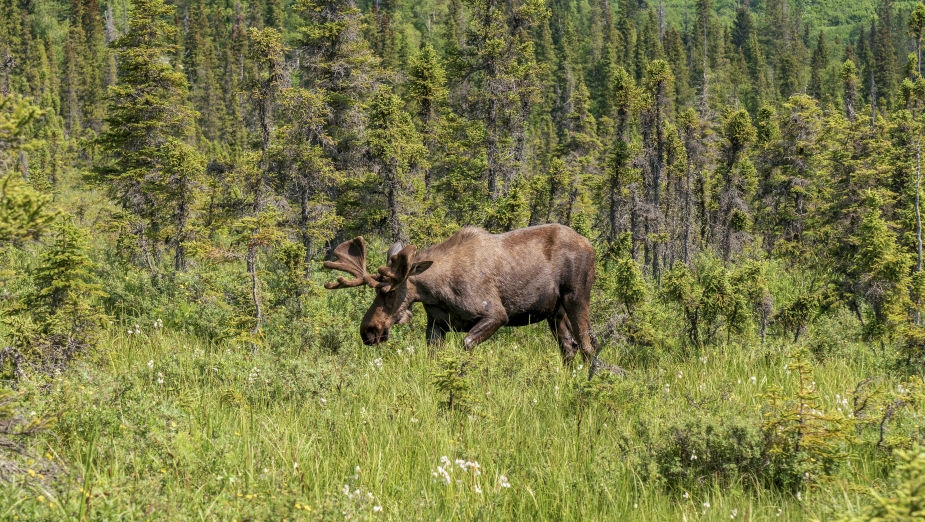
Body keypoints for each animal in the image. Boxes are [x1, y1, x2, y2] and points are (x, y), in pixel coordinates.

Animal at [323, 224, 599, 364]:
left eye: (389, 292)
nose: (368, 331)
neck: (436, 292)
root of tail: (591, 245)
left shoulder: (496, 314)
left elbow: (466, 344)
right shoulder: (436, 325)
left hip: (576, 296)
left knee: (587, 346)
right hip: (555, 312)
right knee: (569, 348)